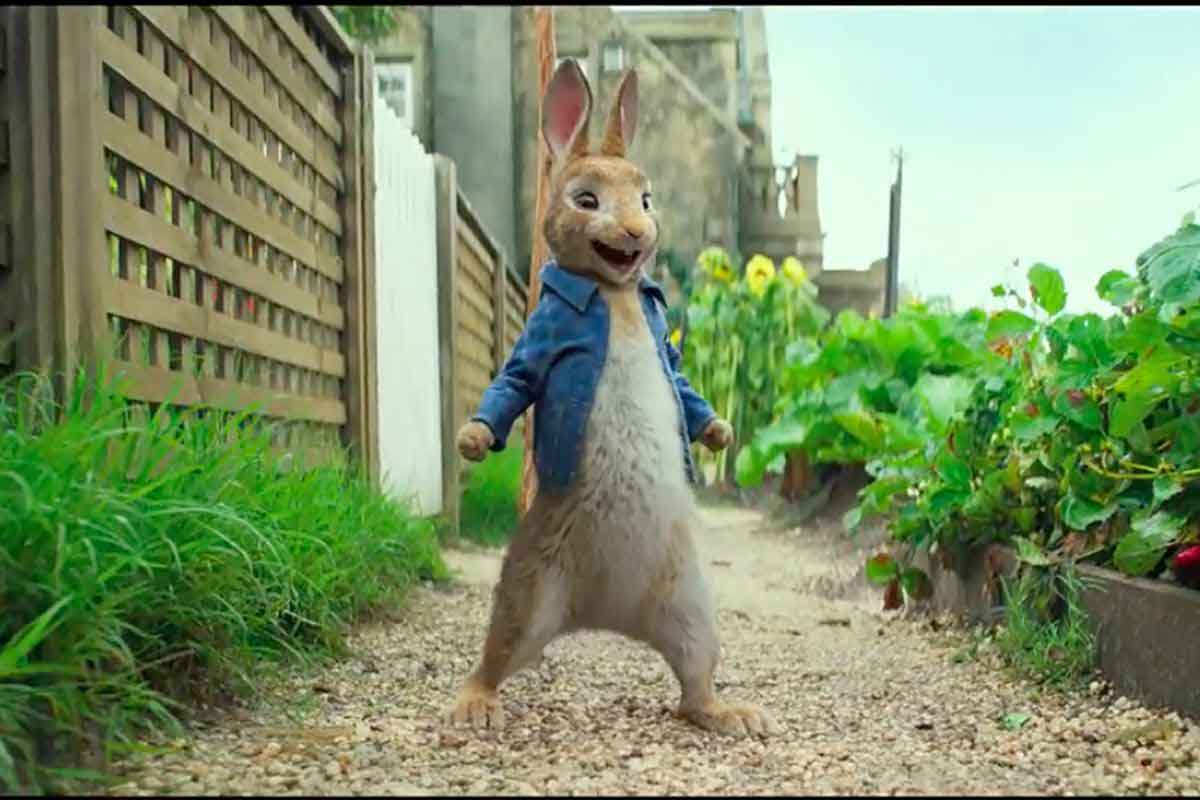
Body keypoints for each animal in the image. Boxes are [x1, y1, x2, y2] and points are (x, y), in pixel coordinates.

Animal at [445, 59, 778, 739]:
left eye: (647, 199)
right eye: (586, 200)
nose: (637, 232)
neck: (615, 292)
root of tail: (603, 614)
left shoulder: (666, 351)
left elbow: (684, 385)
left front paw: (720, 433)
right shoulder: (538, 339)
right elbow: (512, 382)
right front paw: (472, 439)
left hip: (691, 608)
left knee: (693, 685)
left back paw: (731, 715)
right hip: (528, 590)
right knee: (495, 656)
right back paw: (475, 705)